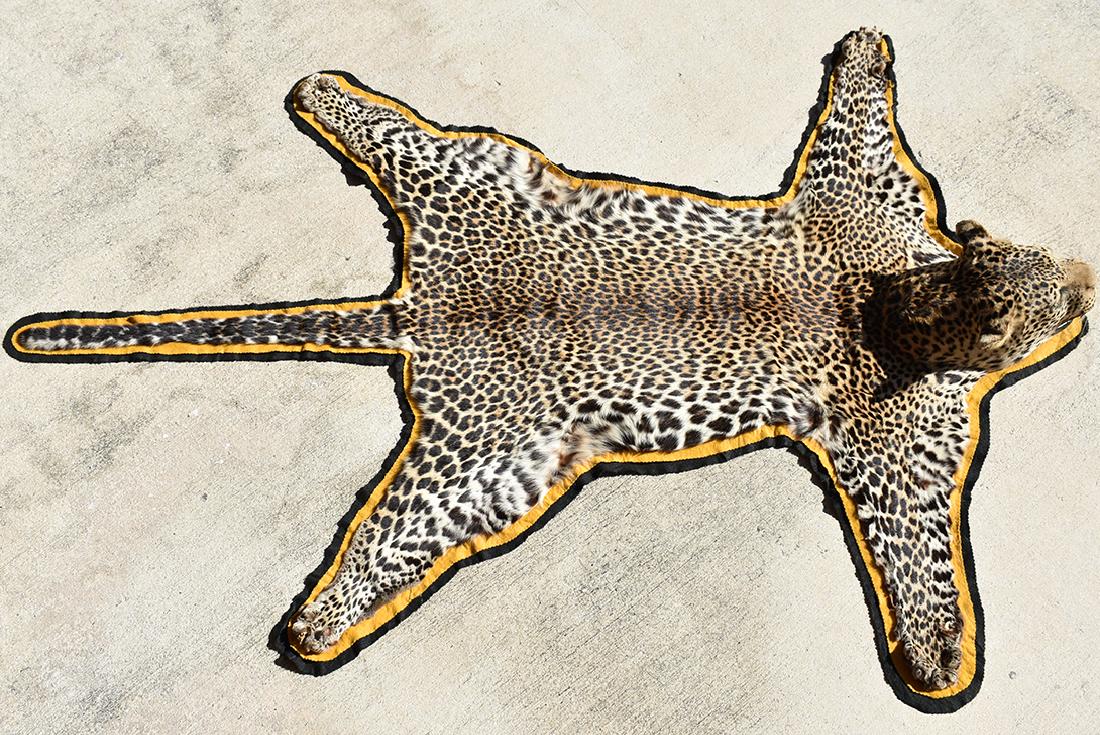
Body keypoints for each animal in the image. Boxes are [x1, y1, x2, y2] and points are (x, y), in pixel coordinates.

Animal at [7, 28, 1094, 695]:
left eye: (1030, 258)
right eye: (1045, 301)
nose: (1086, 279)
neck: (894, 303)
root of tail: (421, 308)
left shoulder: (871, 206)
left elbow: (857, 116)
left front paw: (862, 49)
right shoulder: (901, 434)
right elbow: (921, 554)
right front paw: (941, 653)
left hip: (475, 172)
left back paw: (324, 92)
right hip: (495, 466)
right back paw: (316, 629)